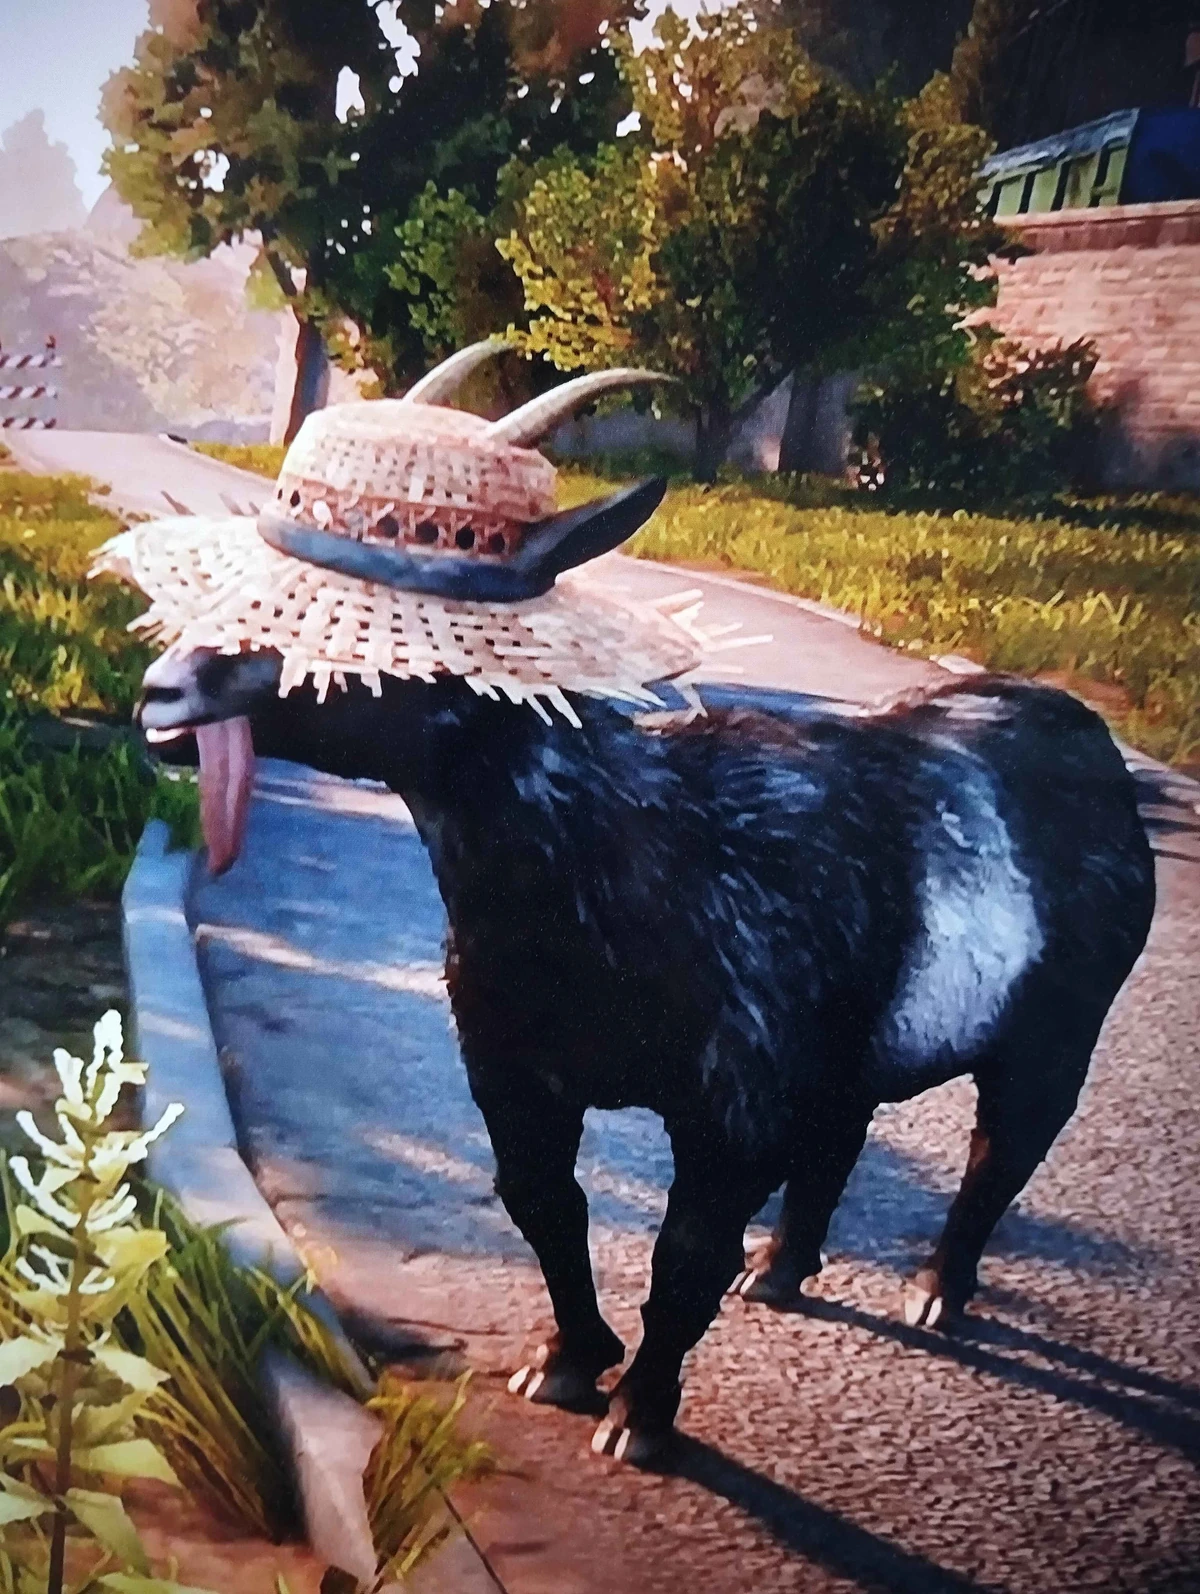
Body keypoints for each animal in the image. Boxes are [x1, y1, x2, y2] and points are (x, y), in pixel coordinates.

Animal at [138, 654, 1156, 1465]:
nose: (164, 690)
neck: (614, 848)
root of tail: (1102, 754)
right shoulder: (515, 1081)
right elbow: (546, 1210)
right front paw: (565, 1365)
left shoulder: (734, 1119)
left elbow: (683, 1262)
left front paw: (638, 1419)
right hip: (849, 1065)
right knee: (842, 1140)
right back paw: (780, 1272)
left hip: (1054, 1041)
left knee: (999, 1155)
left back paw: (936, 1293)